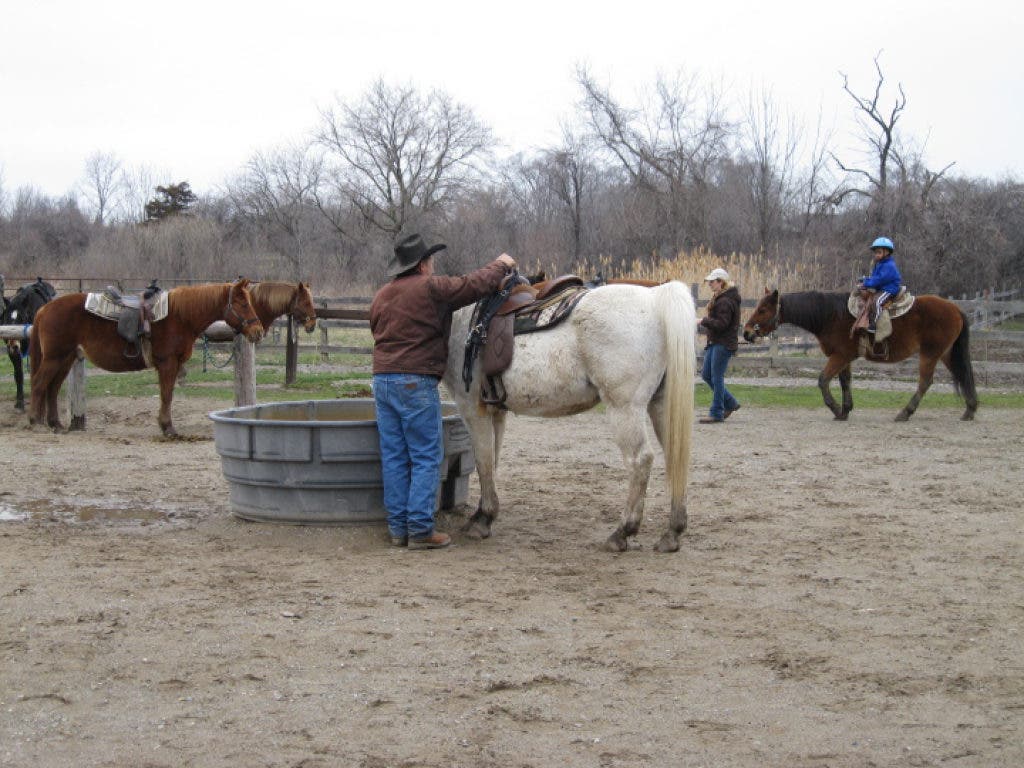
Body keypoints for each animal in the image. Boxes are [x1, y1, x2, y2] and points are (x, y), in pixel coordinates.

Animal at [1, 277, 57, 411]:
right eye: (7, 319)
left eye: (22, 318)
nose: (13, 345)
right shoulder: (14, 354)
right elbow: (18, 375)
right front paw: (19, 403)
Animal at [29, 279, 265, 436]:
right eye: (244, 304)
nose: (258, 331)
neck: (180, 316)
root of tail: (44, 309)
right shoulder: (168, 363)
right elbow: (167, 395)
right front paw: (168, 428)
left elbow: (167, 394)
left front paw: (165, 425)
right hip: (54, 358)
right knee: (40, 384)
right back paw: (35, 422)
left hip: (66, 358)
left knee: (52, 388)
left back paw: (55, 424)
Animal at [443, 281, 697, 552]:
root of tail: (654, 297)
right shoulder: (497, 413)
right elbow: (493, 462)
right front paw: (485, 514)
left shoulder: (472, 410)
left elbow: (483, 462)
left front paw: (482, 520)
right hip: (661, 407)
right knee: (674, 455)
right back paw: (672, 532)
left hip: (624, 409)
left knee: (640, 461)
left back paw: (622, 532)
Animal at [742, 288, 978, 421]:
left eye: (762, 310)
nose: (746, 332)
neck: (831, 315)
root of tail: (955, 309)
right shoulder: (844, 358)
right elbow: (845, 381)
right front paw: (845, 410)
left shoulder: (839, 356)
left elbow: (823, 380)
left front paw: (835, 408)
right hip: (945, 353)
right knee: (964, 374)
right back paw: (970, 409)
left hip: (930, 354)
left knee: (925, 382)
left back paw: (905, 412)